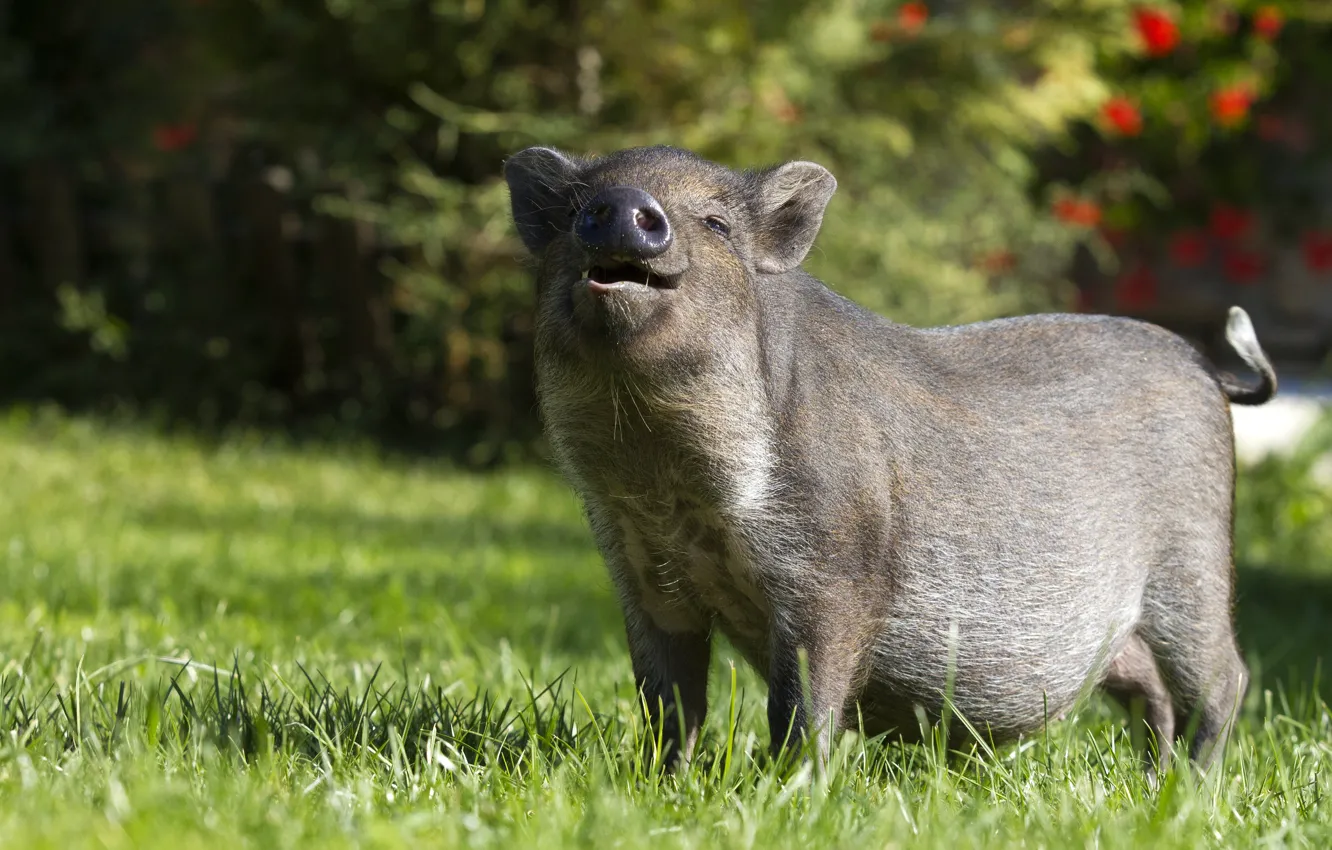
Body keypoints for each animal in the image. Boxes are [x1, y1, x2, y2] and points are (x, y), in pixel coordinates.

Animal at [503, 144, 1276, 777]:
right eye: (575, 210)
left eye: (717, 223)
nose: (622, 207)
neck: (668, 483)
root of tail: (1208, 369)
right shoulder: (643, 574)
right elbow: (669, 702)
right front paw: (665, 786)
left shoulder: (834, 574)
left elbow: (803, 704)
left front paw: (788, 792)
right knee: (1151, 689)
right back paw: (1152, 783)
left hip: (1193, 562)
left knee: (1225, 678)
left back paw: (1189, 789)